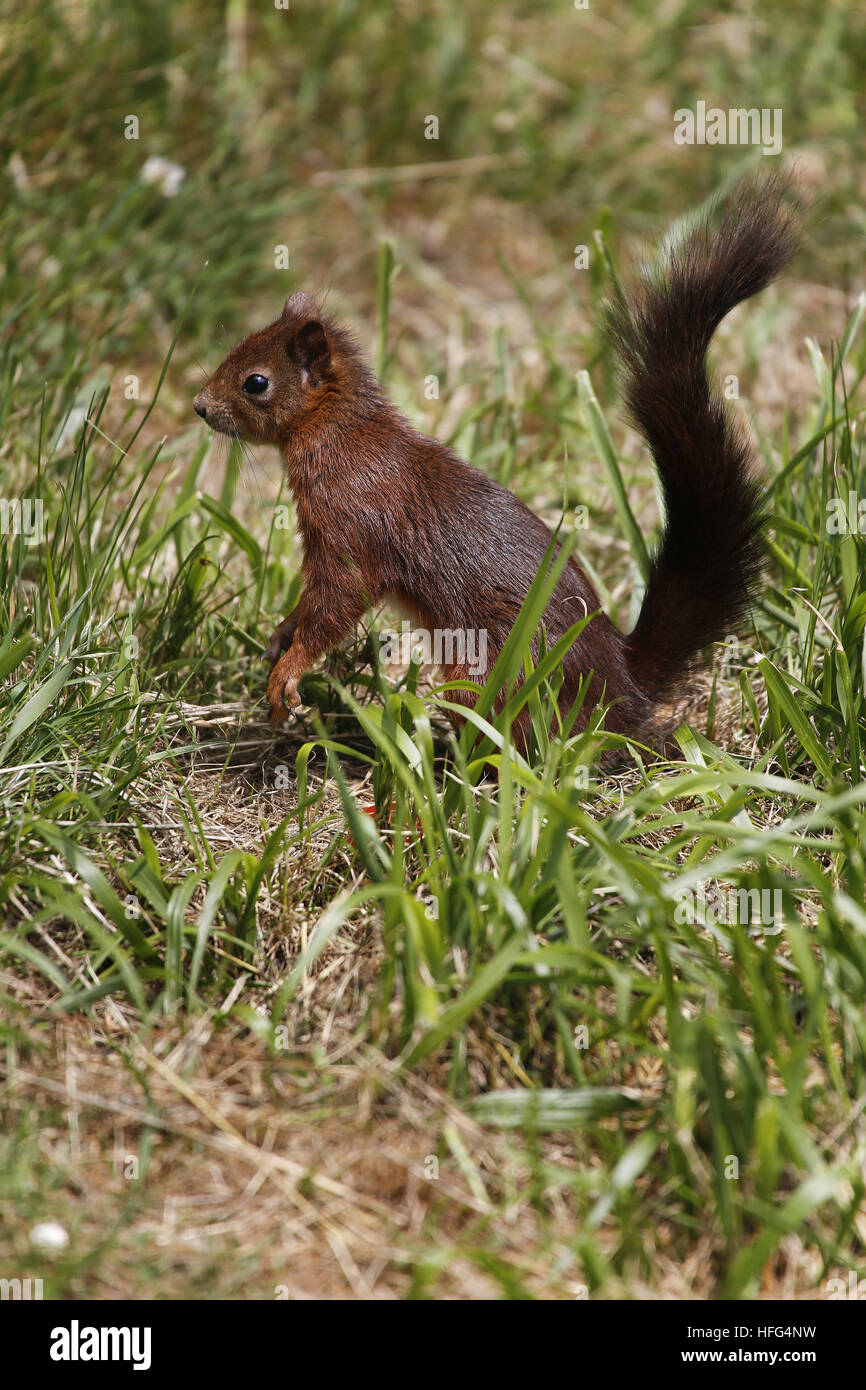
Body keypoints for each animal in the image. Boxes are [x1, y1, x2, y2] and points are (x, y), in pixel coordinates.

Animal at [193, 175, 798, 753]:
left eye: (256, 383)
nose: (200, 407)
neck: (342, 436)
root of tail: (623, 686)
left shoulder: (351, 527)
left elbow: (336, 602)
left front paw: (290, 671)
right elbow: (311, 606)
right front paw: (280, 637)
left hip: (492, 669)